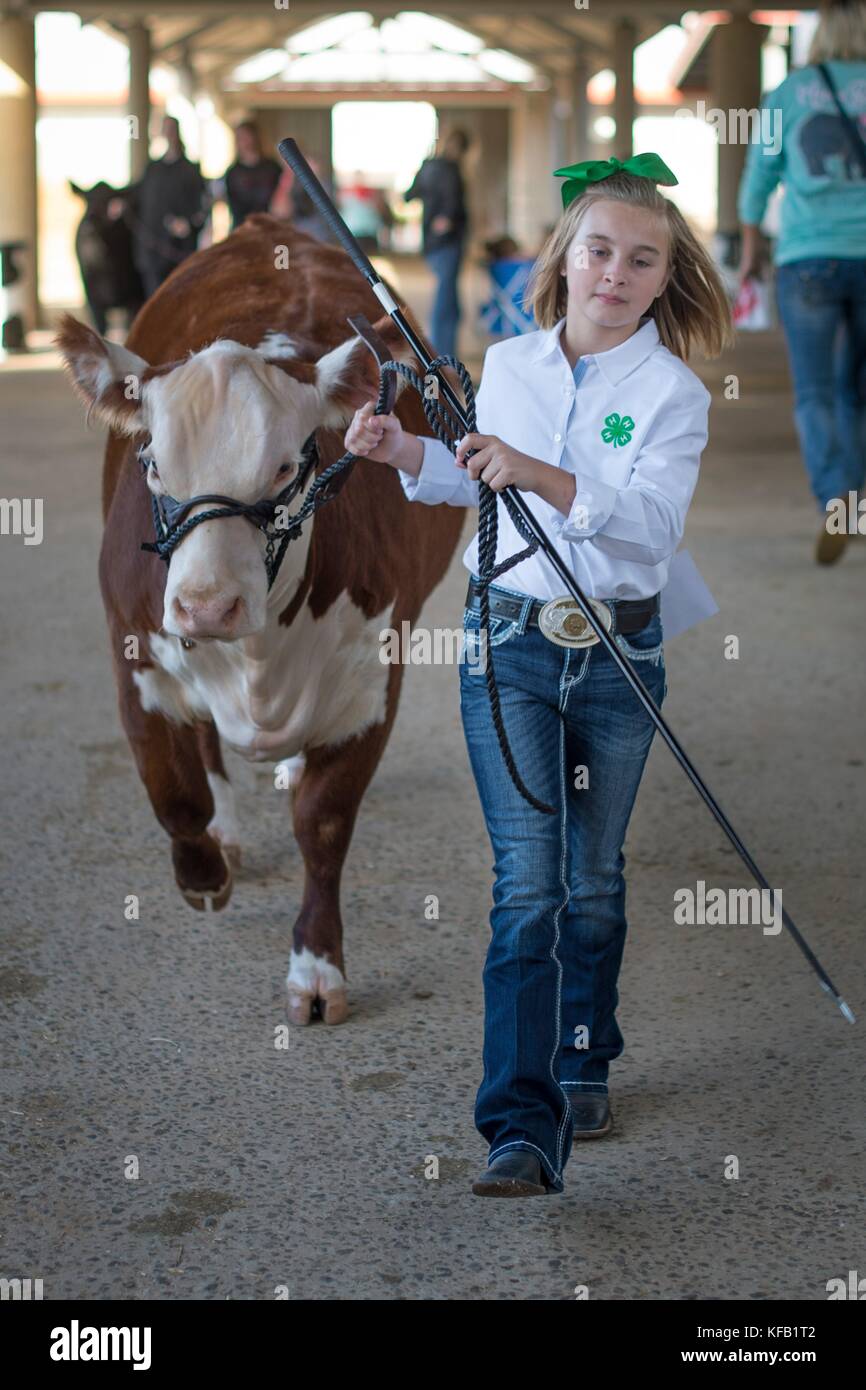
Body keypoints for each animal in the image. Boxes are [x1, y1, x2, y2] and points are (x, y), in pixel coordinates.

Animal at [56, 213, 465, 1024]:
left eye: (283, 468)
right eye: (153, 462)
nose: (207, 606)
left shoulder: (375, 681)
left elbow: (324, 823)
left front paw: (317, 969)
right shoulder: (132, 654)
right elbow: (173, 791)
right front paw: (203, 875)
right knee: (203, 752)